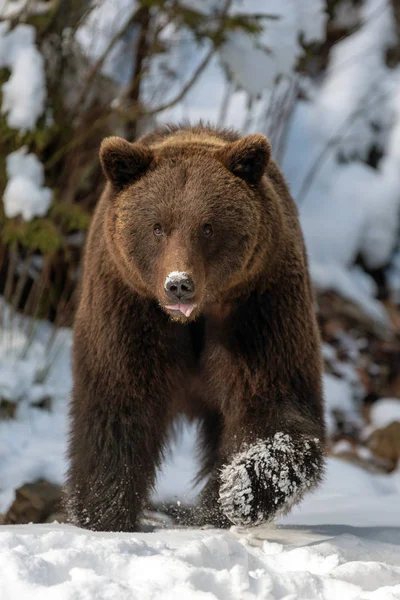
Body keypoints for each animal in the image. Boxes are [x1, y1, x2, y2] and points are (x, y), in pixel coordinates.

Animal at [65, 122, 326, 528]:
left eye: (207, 227)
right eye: (157, 226)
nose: (179, 283)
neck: (193, 319)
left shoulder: (257, 308)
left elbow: (272, 404)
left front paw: (241, 488)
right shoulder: (128, 308)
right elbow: (118, 405)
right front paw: (103, 517)